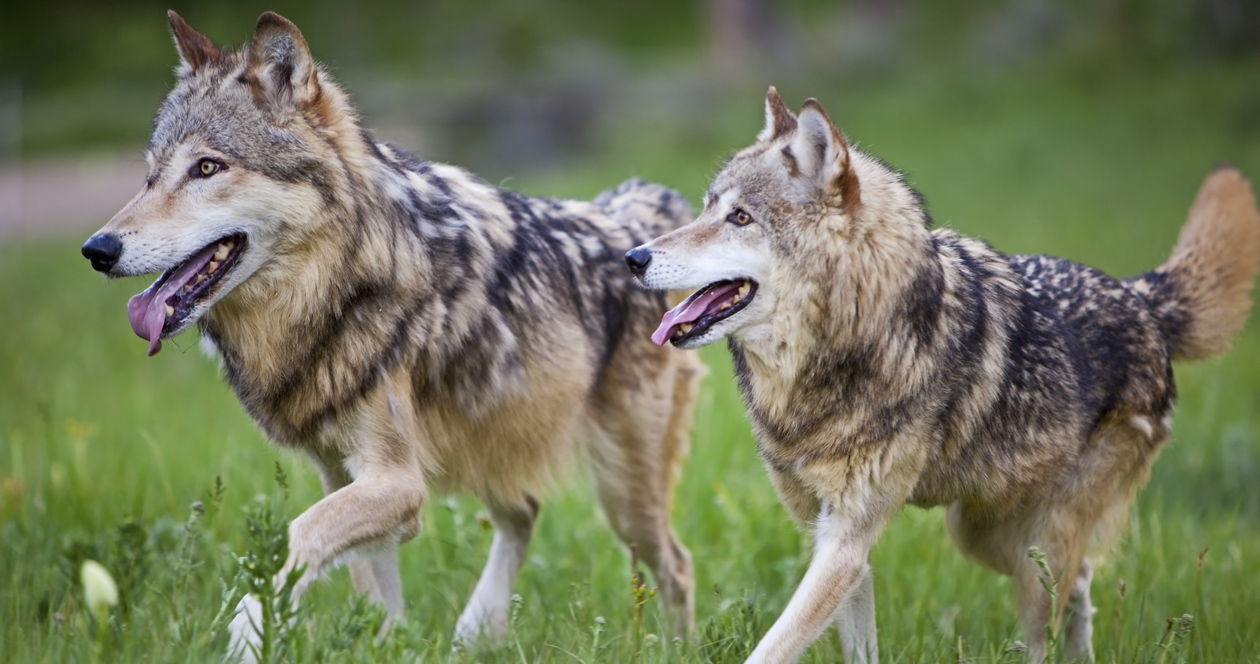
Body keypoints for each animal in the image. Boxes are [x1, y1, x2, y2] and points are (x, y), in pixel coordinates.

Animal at [80, 11, 703, 660]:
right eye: (150, 176)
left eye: (207, 167)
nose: (97, 250)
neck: (335, 290)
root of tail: (632, 225)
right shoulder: (344, 475)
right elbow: (372, 600)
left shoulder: (399, 485)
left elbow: (292, 542)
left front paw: (249, 633)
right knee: (526, 512)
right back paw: (477, 632)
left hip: (624, 498)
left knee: (677, 564)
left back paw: (677, 646)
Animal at [626, 87, 1260, 664]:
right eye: (707, 209)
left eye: (739, 218)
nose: (633, 258)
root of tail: (1140, 297)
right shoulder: (832, 537)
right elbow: (858, 648)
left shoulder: (846, 540)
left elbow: (772, 647)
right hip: (984, 533)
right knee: (1080, 584)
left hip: (1025, 549)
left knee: (1052, 618)